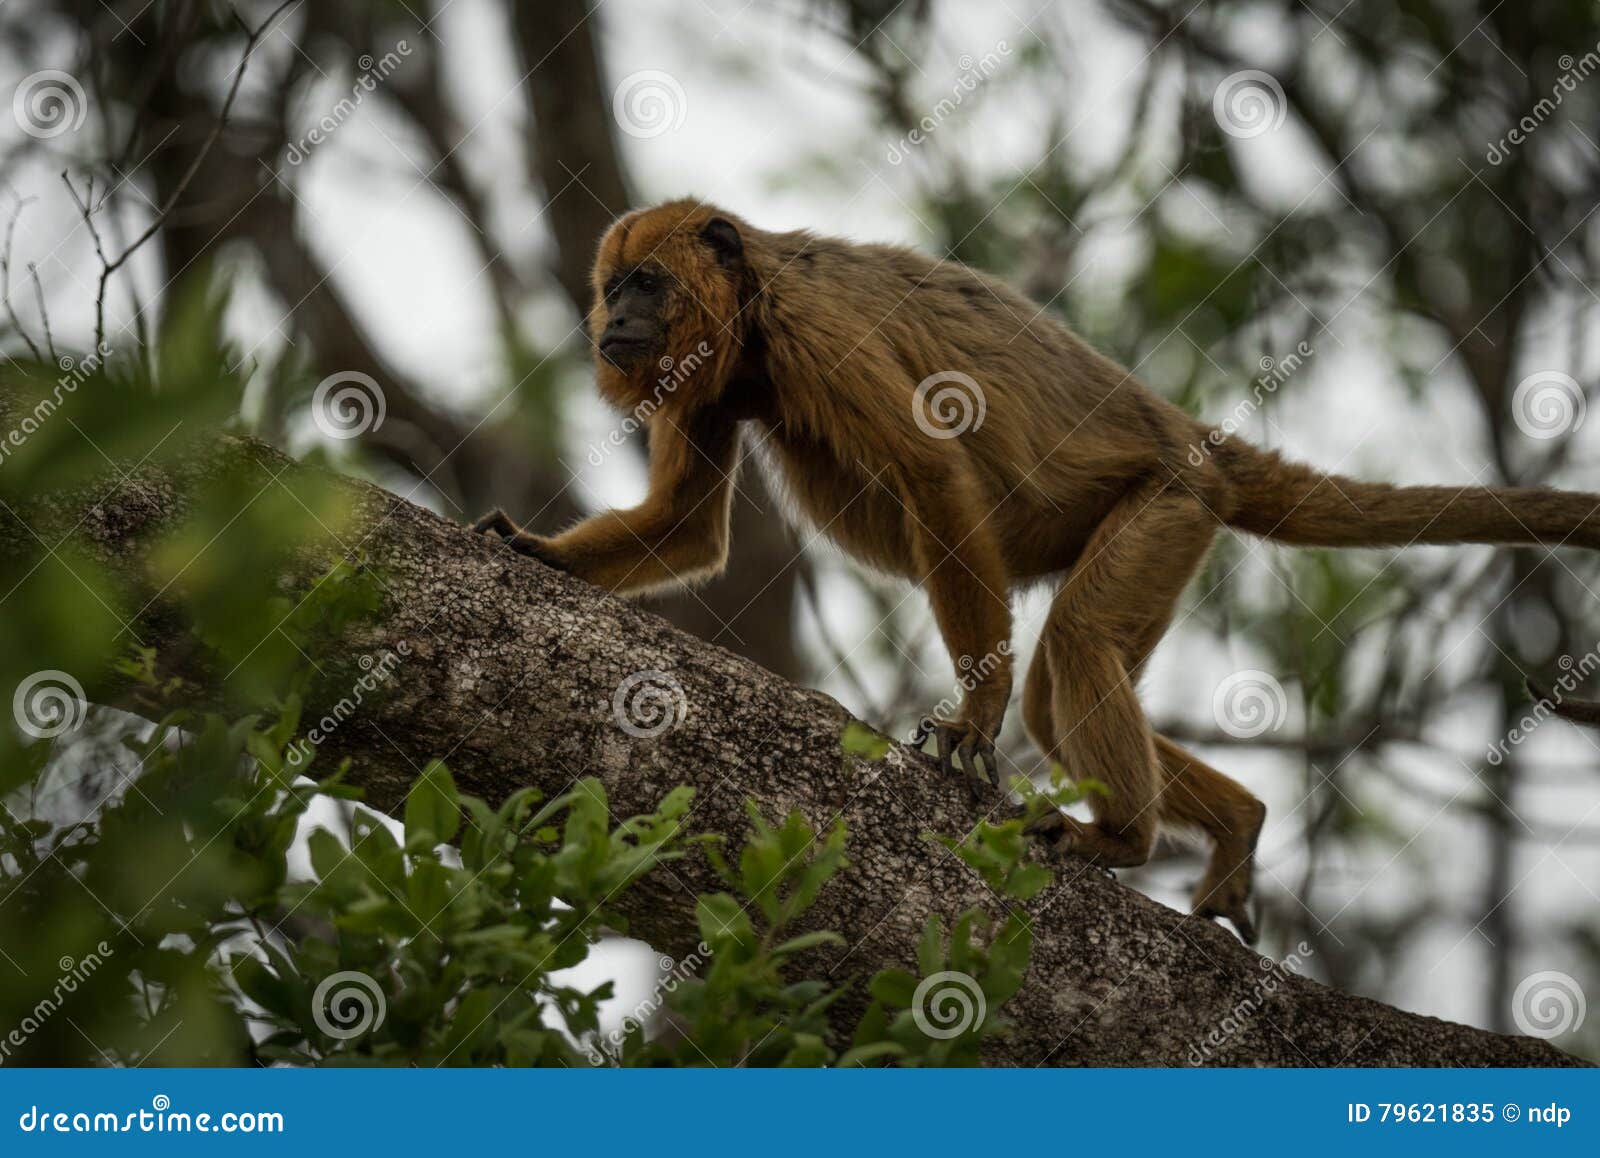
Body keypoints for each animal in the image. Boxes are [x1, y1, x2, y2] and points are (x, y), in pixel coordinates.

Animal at [472, 198, 1600, 943]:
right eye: (610, 287)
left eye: (644, 282)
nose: (609, 321)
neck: (747, 311)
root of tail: (1191, 436)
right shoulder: (699, 377)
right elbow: (686, 528)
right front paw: (535, 553)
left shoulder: (816, 327)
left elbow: (933, 476)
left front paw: (975, 717)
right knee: (1065, 696)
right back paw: (1233, 824)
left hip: (1166, 504)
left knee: (1077, 646)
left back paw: (1124, 840)